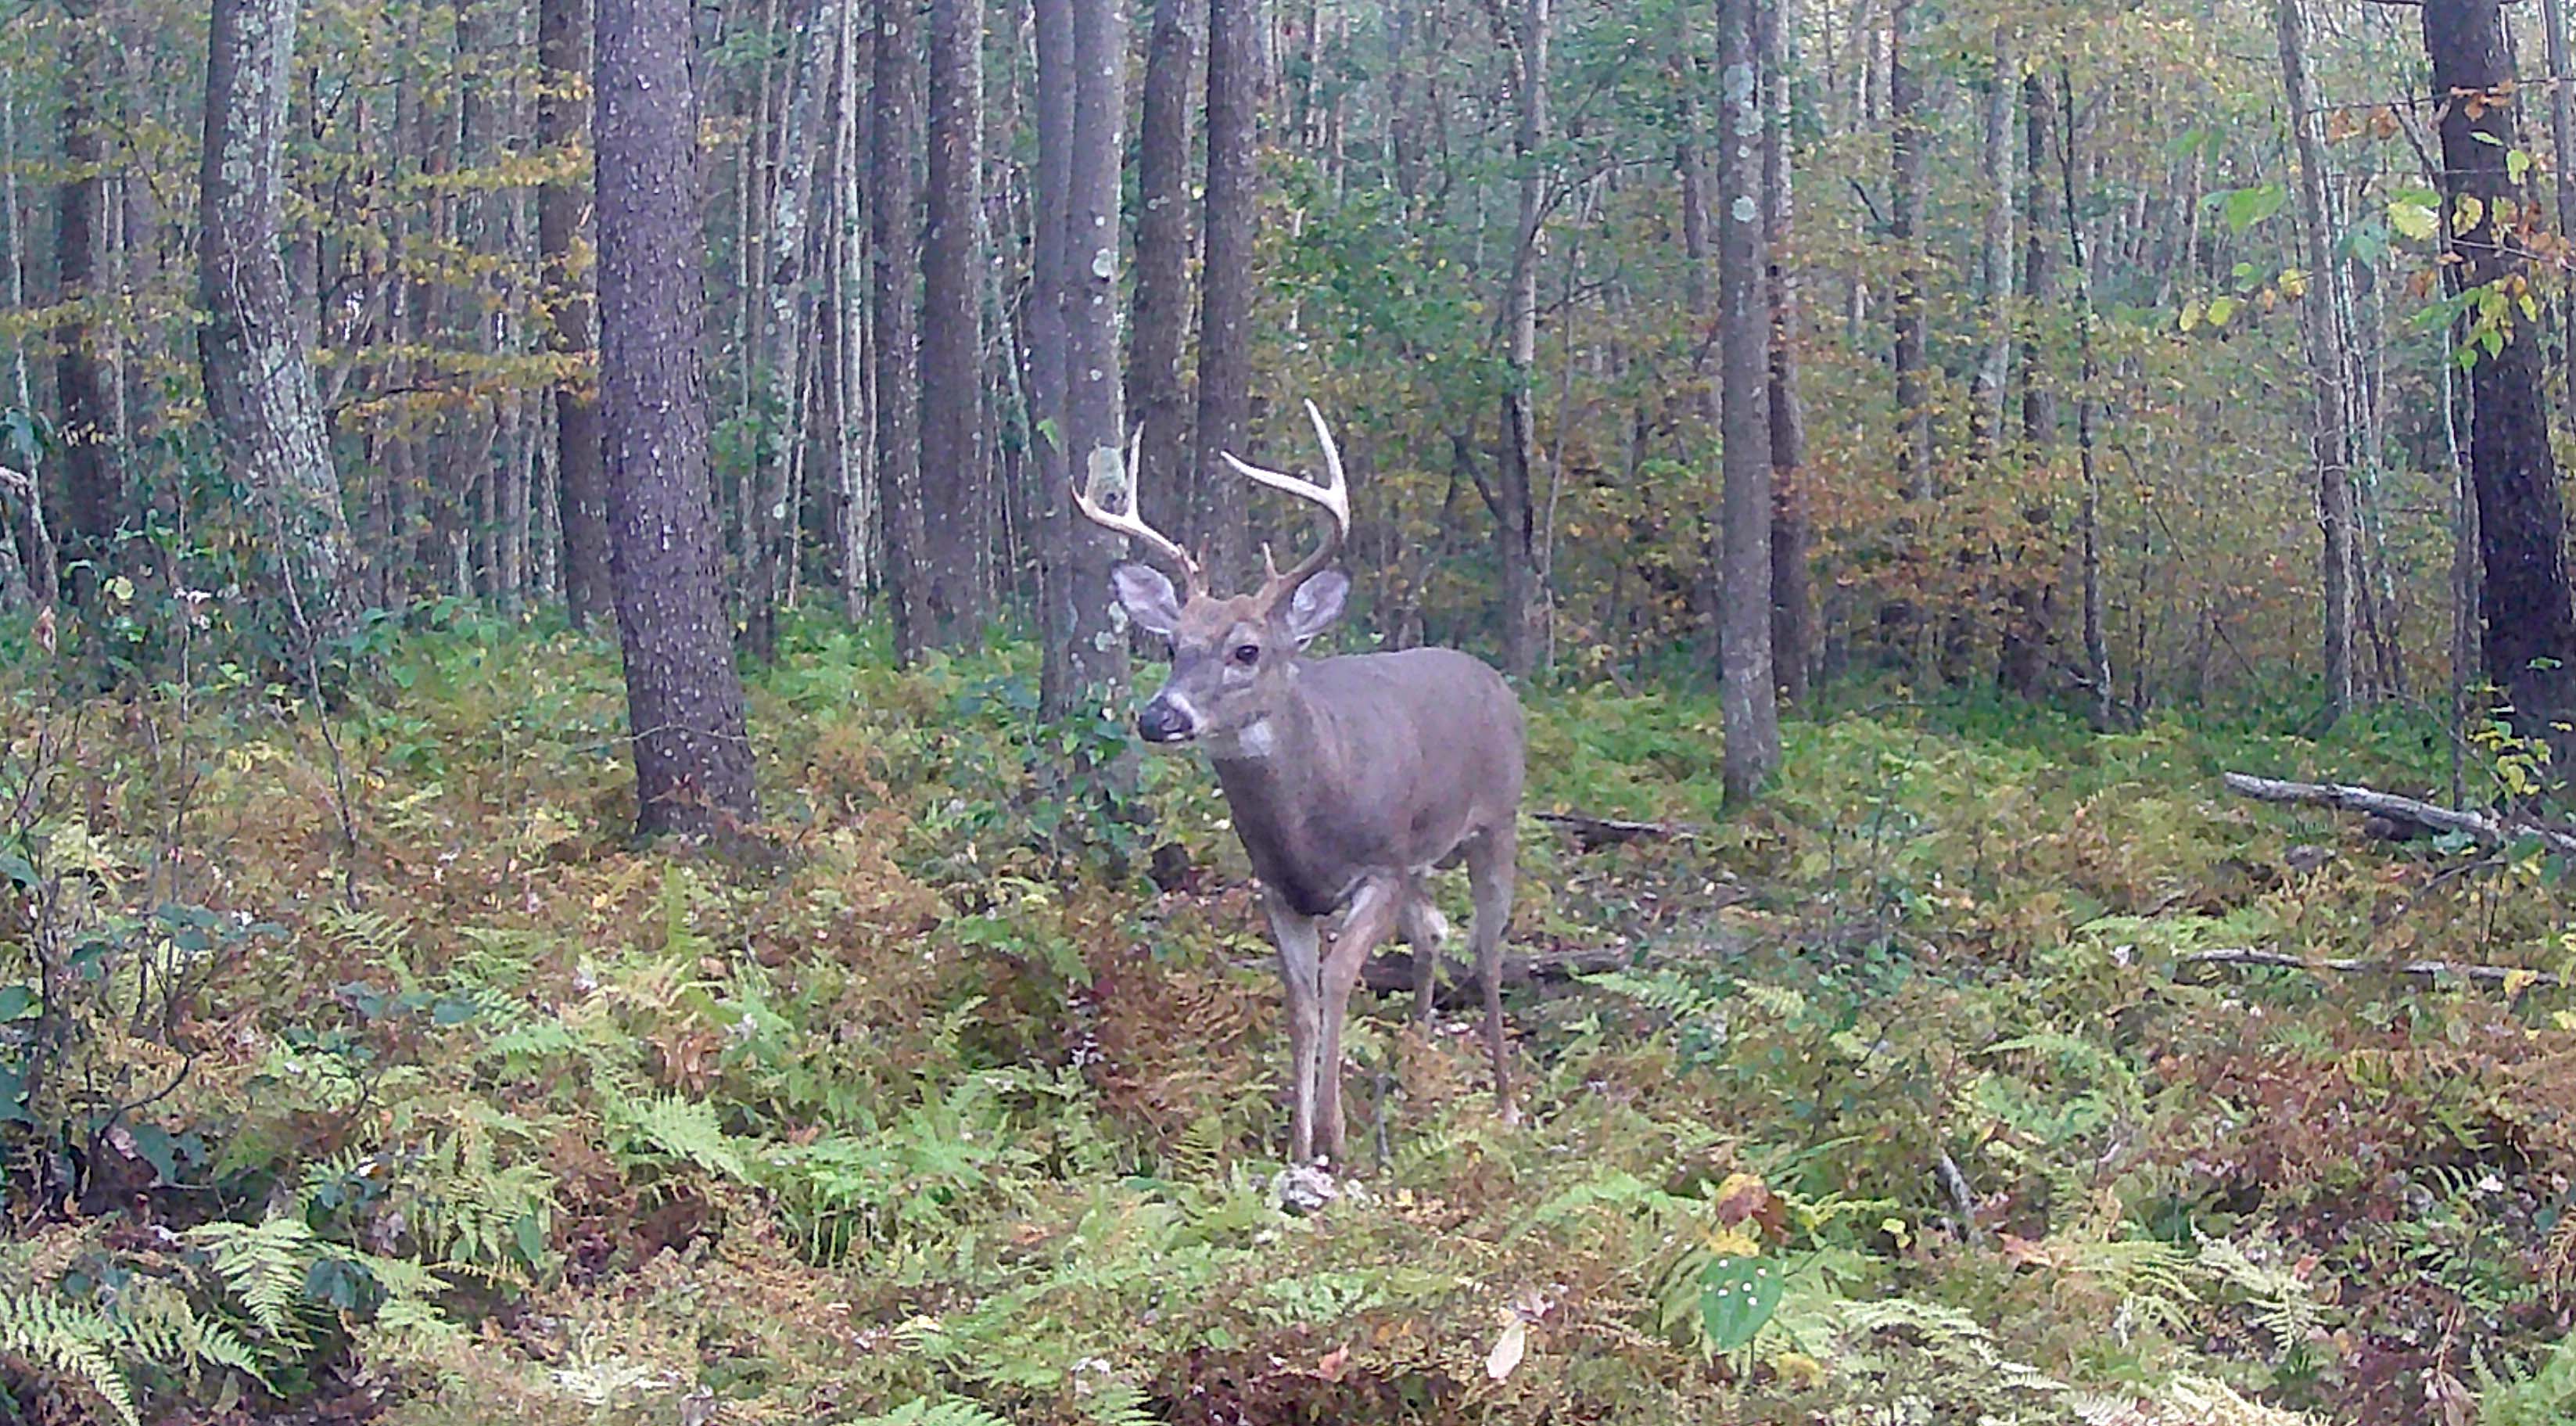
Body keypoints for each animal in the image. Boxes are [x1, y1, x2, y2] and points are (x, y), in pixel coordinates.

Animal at [1074, 401, 1525, 1167]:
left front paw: (1334, 1139)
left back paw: (1504, 1100)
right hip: (1422, 859)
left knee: (1489, 951)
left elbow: (1339, 977)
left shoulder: (1379, 865)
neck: (1310, 820)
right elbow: (1299, 996)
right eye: (1173, 644)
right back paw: (1415, 1060)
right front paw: (1297, 1141)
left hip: (1496, 821)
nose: (1159, 716)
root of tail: (1496, 679)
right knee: (1434, 932)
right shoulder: (1280, 887)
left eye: (1247, 649)